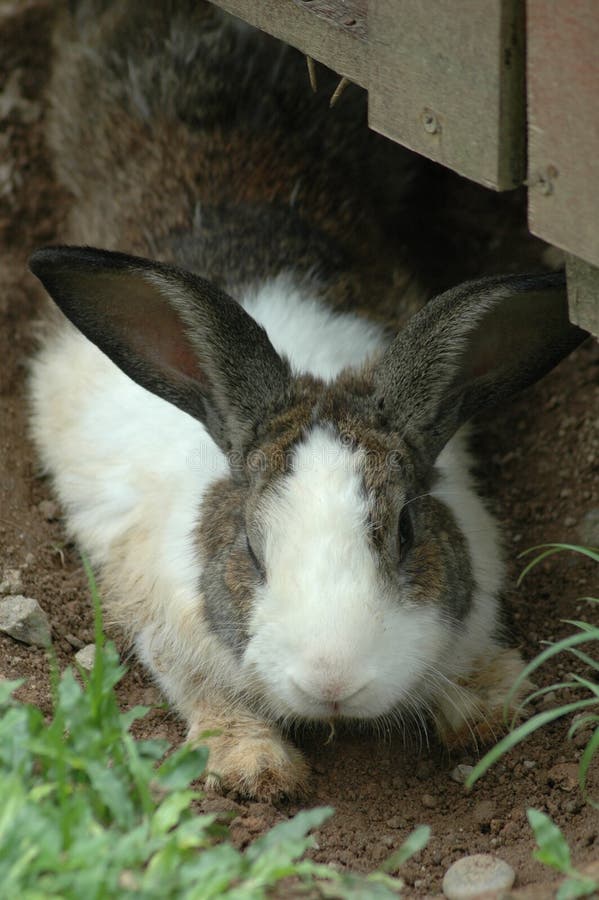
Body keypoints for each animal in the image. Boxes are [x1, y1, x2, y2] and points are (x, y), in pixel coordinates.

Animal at [28, 0, 586, 801]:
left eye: (405, 530)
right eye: (251, 547)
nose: (333, 680)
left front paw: (488, 710)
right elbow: (210, 698)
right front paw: (257, 768)